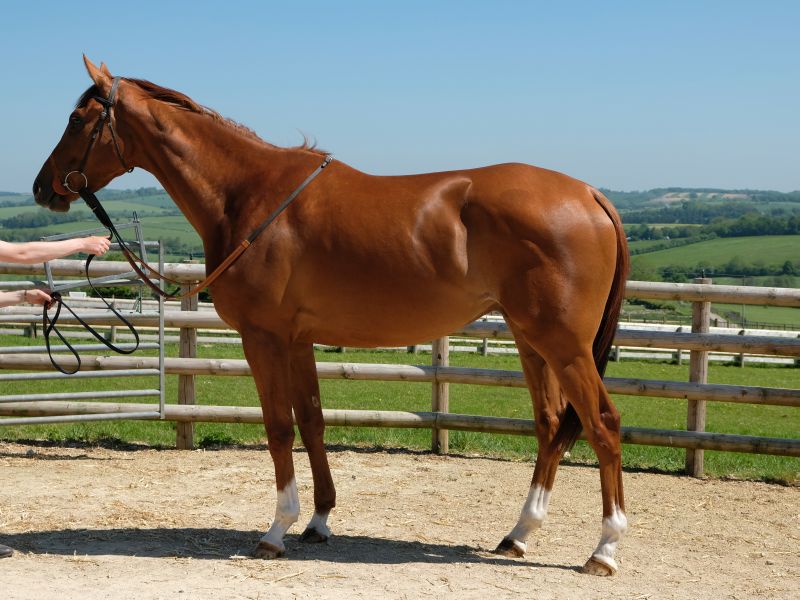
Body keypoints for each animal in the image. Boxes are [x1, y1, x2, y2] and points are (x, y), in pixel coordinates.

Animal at [33, 56, 630, 575]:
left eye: (77, 120)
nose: (43, 187)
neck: (248, 195)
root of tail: (589, 194)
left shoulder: (264, 338)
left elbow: (278, 427)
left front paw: (276, 530)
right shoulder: (298, 340)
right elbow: (313, 422)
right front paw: (317, 522)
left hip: (564, 346)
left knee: (602, 424)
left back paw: (604, 550)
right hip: (532, 342)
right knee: (550, 425)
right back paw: (518, 535)